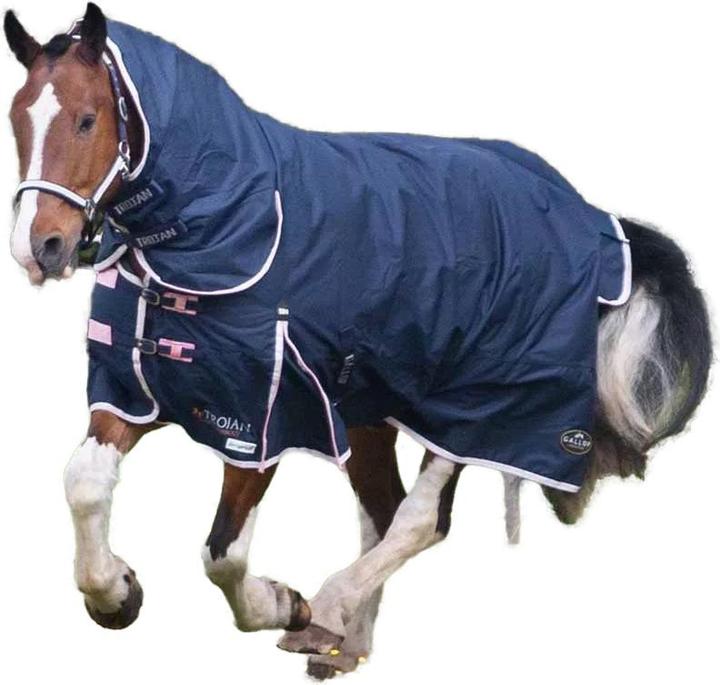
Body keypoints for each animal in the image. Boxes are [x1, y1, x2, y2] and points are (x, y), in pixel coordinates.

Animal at [5, 4, 712, 679]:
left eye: (88, 120)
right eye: (16, 119)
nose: (40, 248)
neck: (225, 227)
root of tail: (591, 217)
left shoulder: (265, 415)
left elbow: (222, 554)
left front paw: (282, 602)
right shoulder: (141, 389)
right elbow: (85, 480)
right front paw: (116, 594)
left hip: (478, 404)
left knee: (420, 517)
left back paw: (329, 607)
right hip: (375, 402)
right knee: (384, 509)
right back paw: (340, 643)